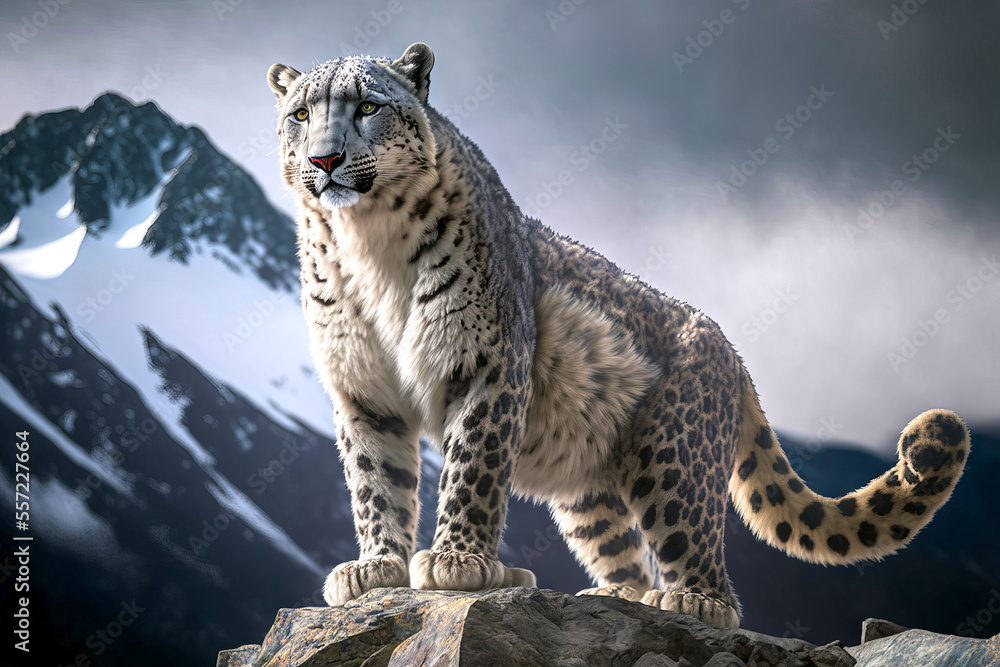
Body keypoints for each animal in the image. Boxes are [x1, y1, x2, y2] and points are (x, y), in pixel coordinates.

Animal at [266, 43, 970, 628]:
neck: (369, 242)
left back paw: (689, 601)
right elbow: (375, 481)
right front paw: (375, 568)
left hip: (676, 460)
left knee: (703, 563)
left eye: (367, 105)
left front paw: (456, 561)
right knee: (620, 550)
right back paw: (602, 594)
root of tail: (735, 357)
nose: (324, 158)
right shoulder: (363, 387)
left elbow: (472, 465)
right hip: (586, 490)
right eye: (300, 113)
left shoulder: (486, 362)